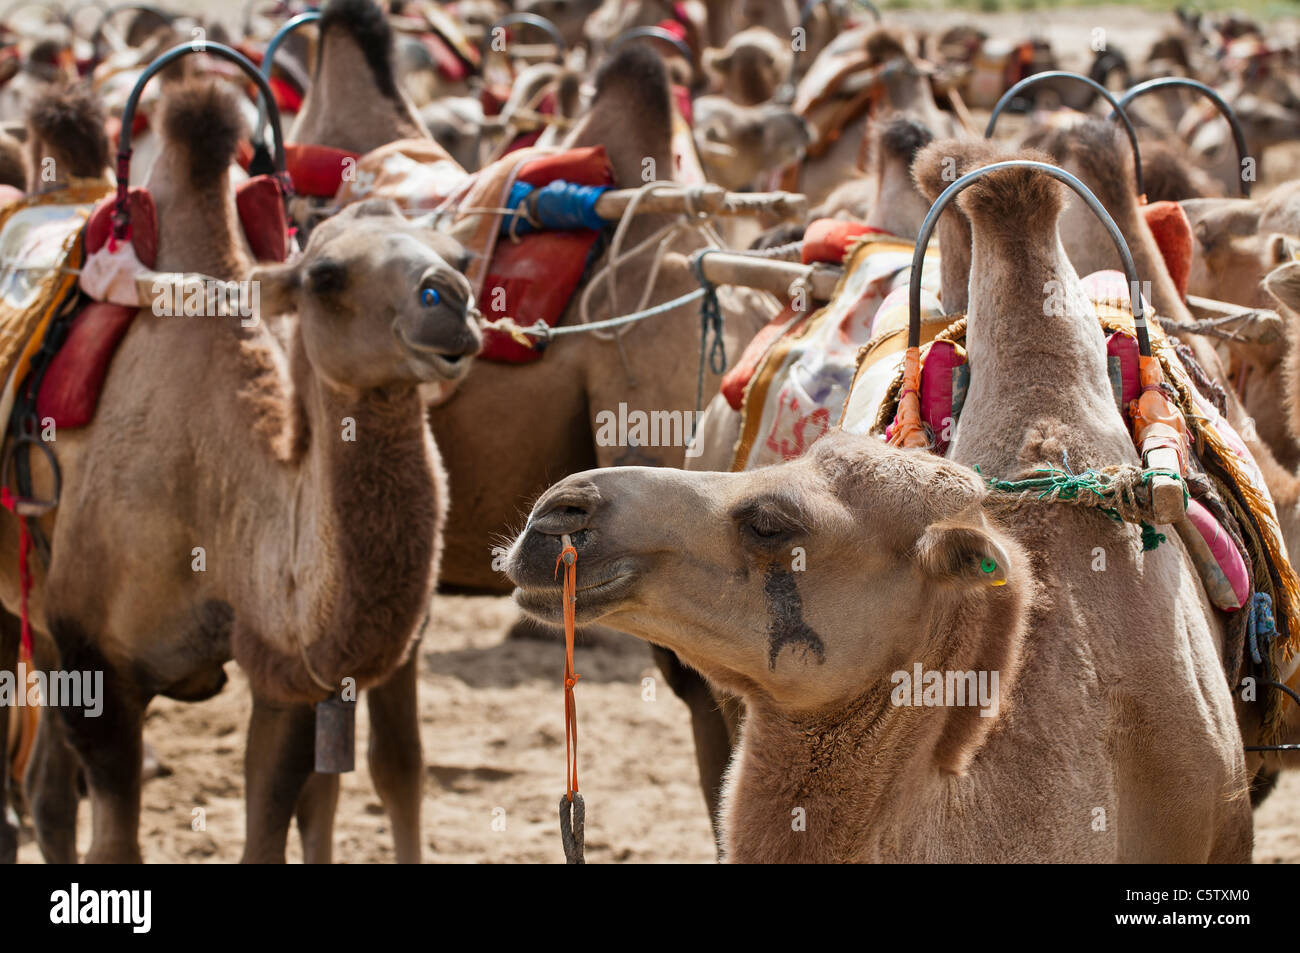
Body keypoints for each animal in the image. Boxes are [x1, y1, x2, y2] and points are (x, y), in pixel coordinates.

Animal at [5, 78, 478, 864]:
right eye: (325, 274)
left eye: (462, 256)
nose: (451, 303)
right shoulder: (96, 661)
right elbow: (116, 842)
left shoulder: (283, 675)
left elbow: (268, 828)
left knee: (45, 791)